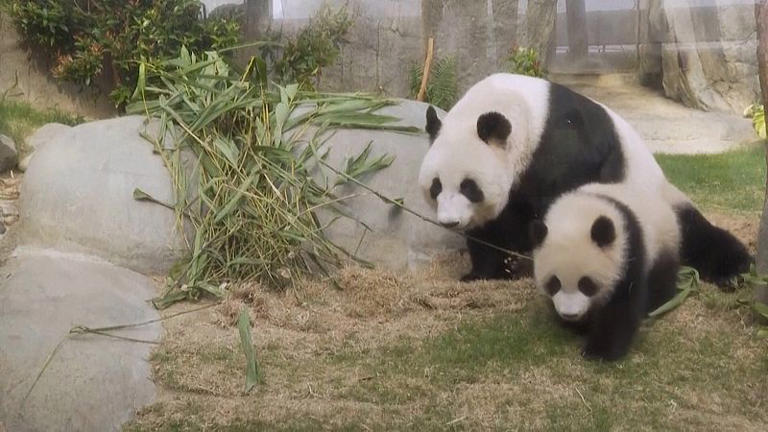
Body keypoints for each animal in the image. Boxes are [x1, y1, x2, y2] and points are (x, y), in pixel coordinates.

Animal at [418, 73, 750, 285]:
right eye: (436, 187)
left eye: (469, 187)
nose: (449, 222)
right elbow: (495, 223)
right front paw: (488, 271)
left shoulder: (565, 147)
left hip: (657, 202)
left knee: (697, 235)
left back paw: (733, 272)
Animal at [528, 182, 680, 361]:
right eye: (554, 283)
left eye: (586, 284)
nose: (570, 314)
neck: (579, 213)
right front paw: (579, 326)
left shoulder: (627, 252)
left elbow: (622, 304)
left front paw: (600, 351)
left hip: (663, 241)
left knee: (662, 277)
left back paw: (655, 302)